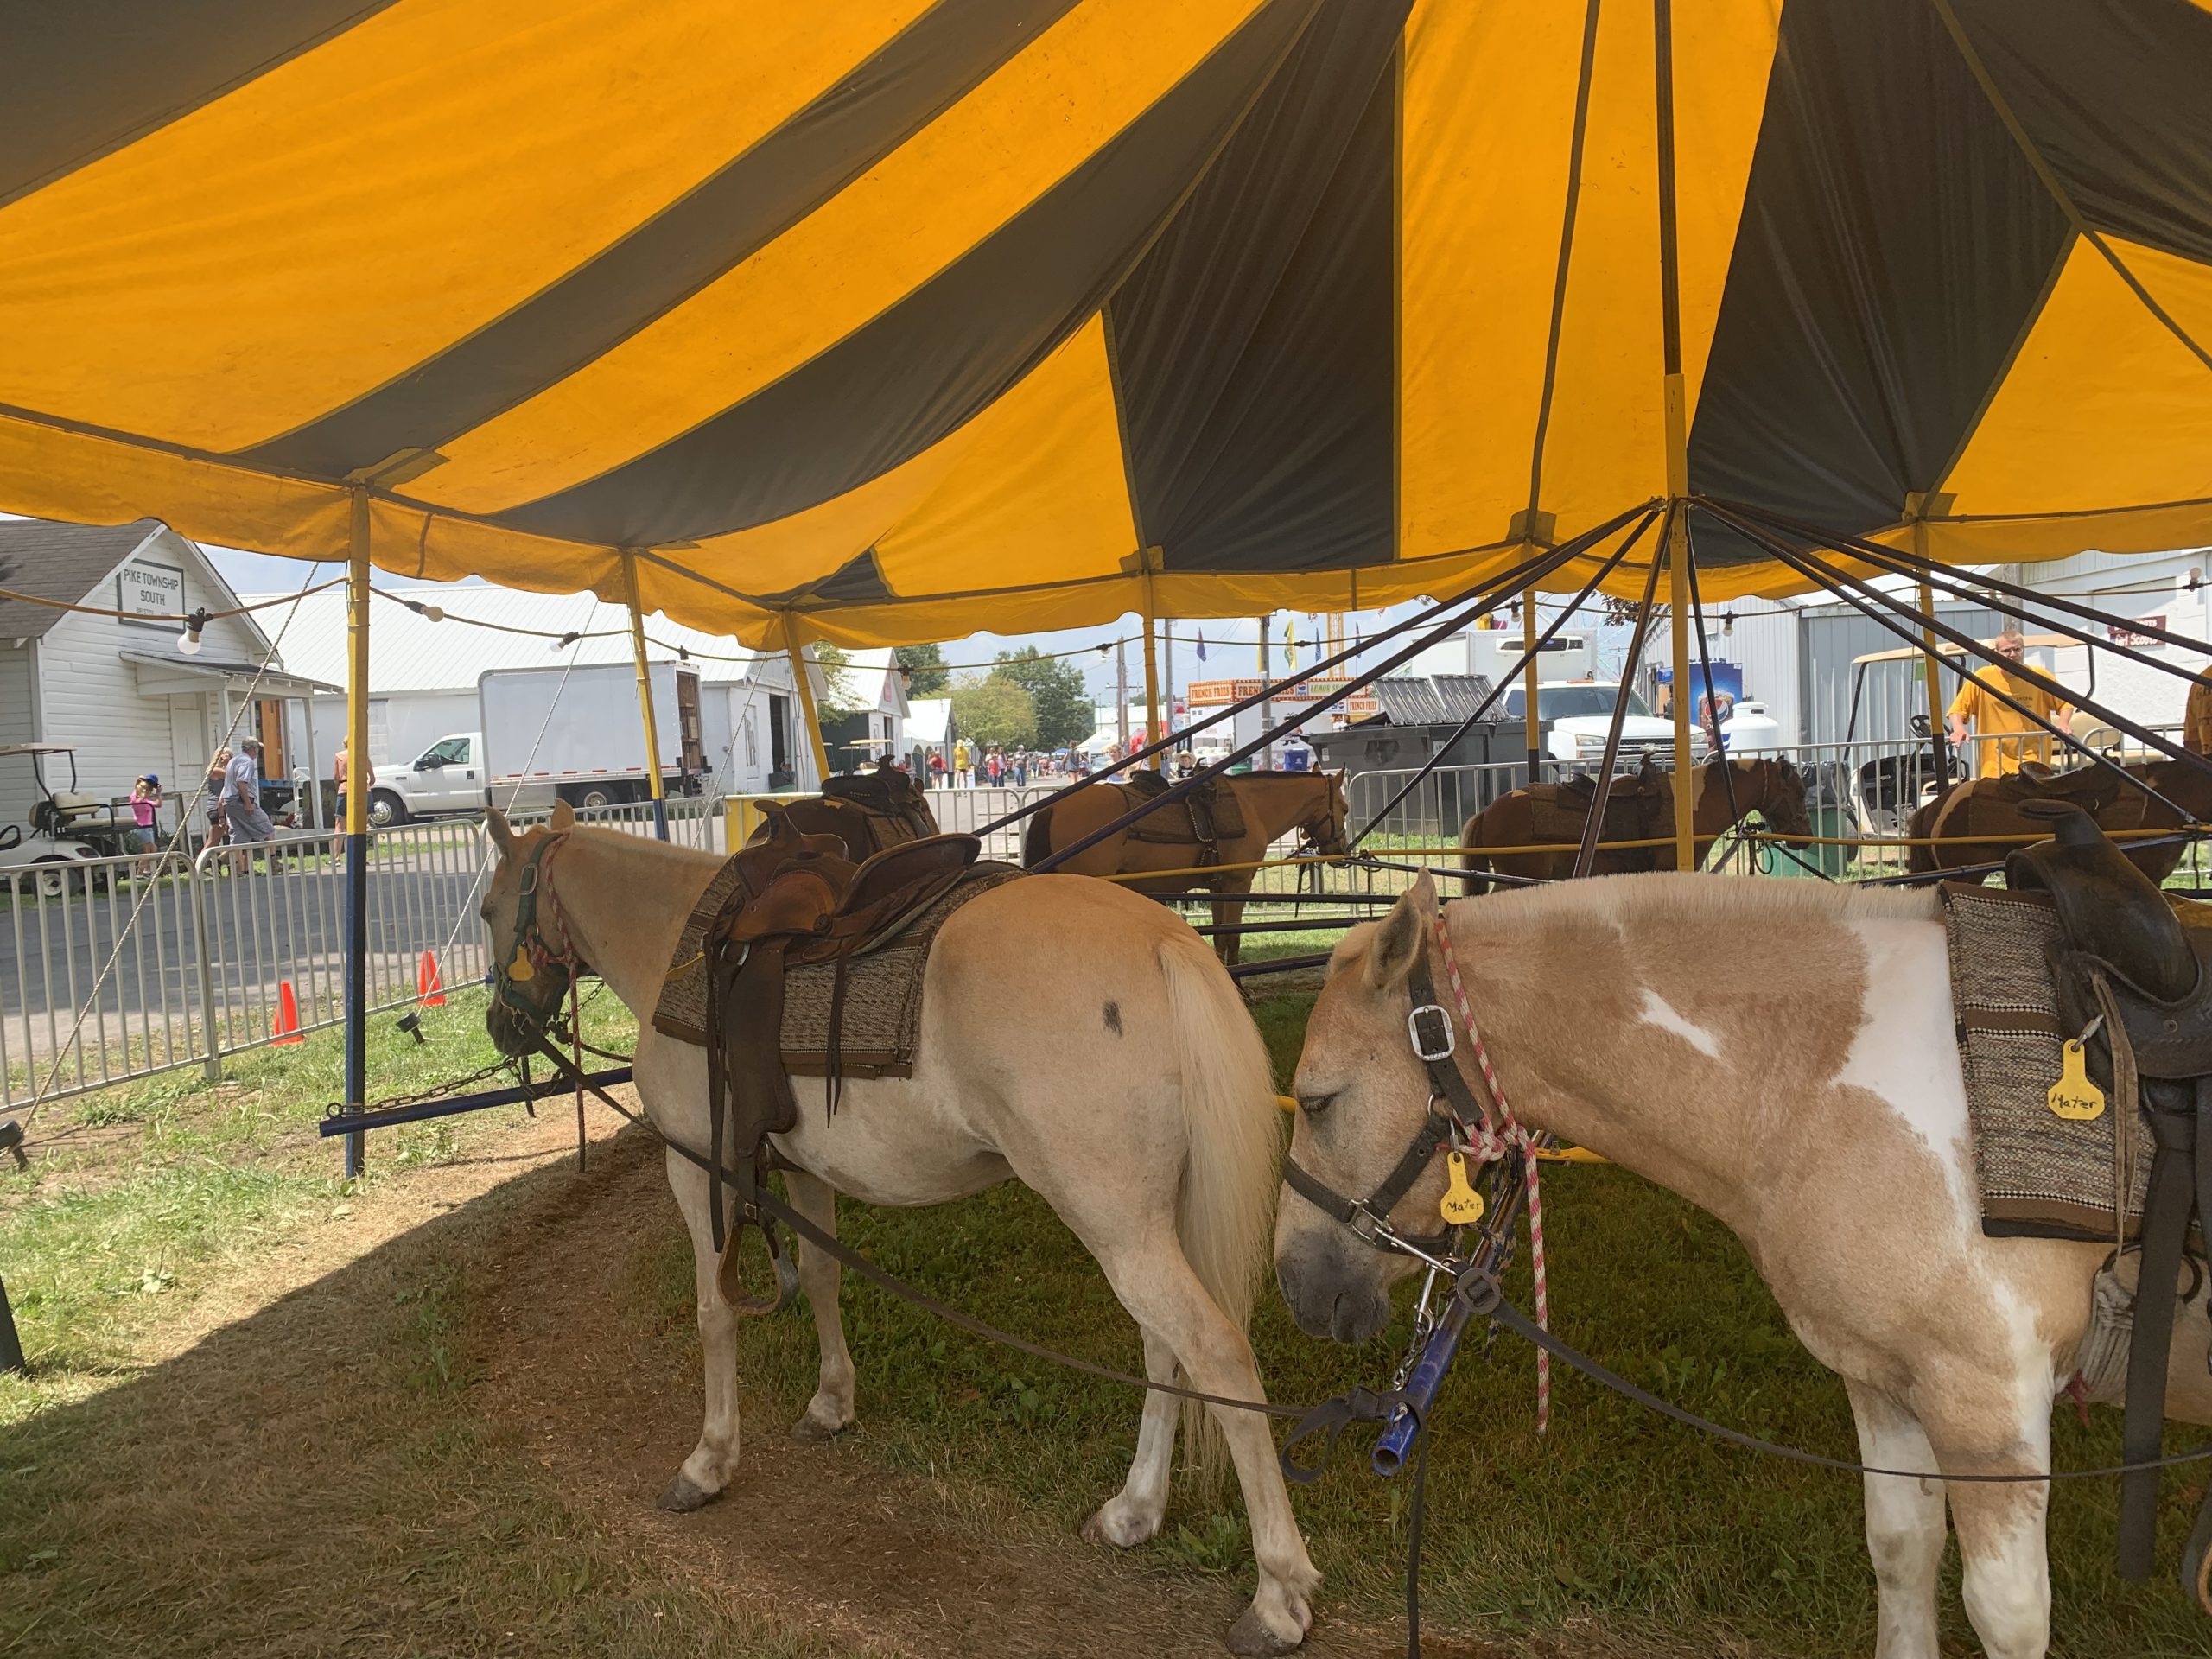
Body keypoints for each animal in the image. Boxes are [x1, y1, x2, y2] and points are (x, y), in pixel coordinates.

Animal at [478, 803, 1320, 1653]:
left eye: (485, 911)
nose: (501, 1025)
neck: (677, 945)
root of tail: (1162, 939)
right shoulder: (800, 1168)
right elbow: (821, 1276)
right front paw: (831, 1403)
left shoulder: (696, 1164)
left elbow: (715, 1312)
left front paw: (709, 1461)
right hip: (1141, 1224)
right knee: (1163, 1349)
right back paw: (1135, 1511)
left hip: (1117, 1227)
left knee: (1215, 1356)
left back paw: (1276, 1594)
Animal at [1023, 770, 1349, 965]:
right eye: (1344, 808)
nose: (1341, 852)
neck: (1251, 808)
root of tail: (1053, 807)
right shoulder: (1238, 882)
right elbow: (1233, 937)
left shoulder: (1219, 887)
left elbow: (1220, 937)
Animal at [1275, 871, 2212, 1659]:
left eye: (1317, 1102)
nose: (1294, 1280)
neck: (1829, 1080)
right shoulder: (1888, 1383)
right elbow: (1902, 1554)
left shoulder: (1990, 1405)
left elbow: (2006, 1613)